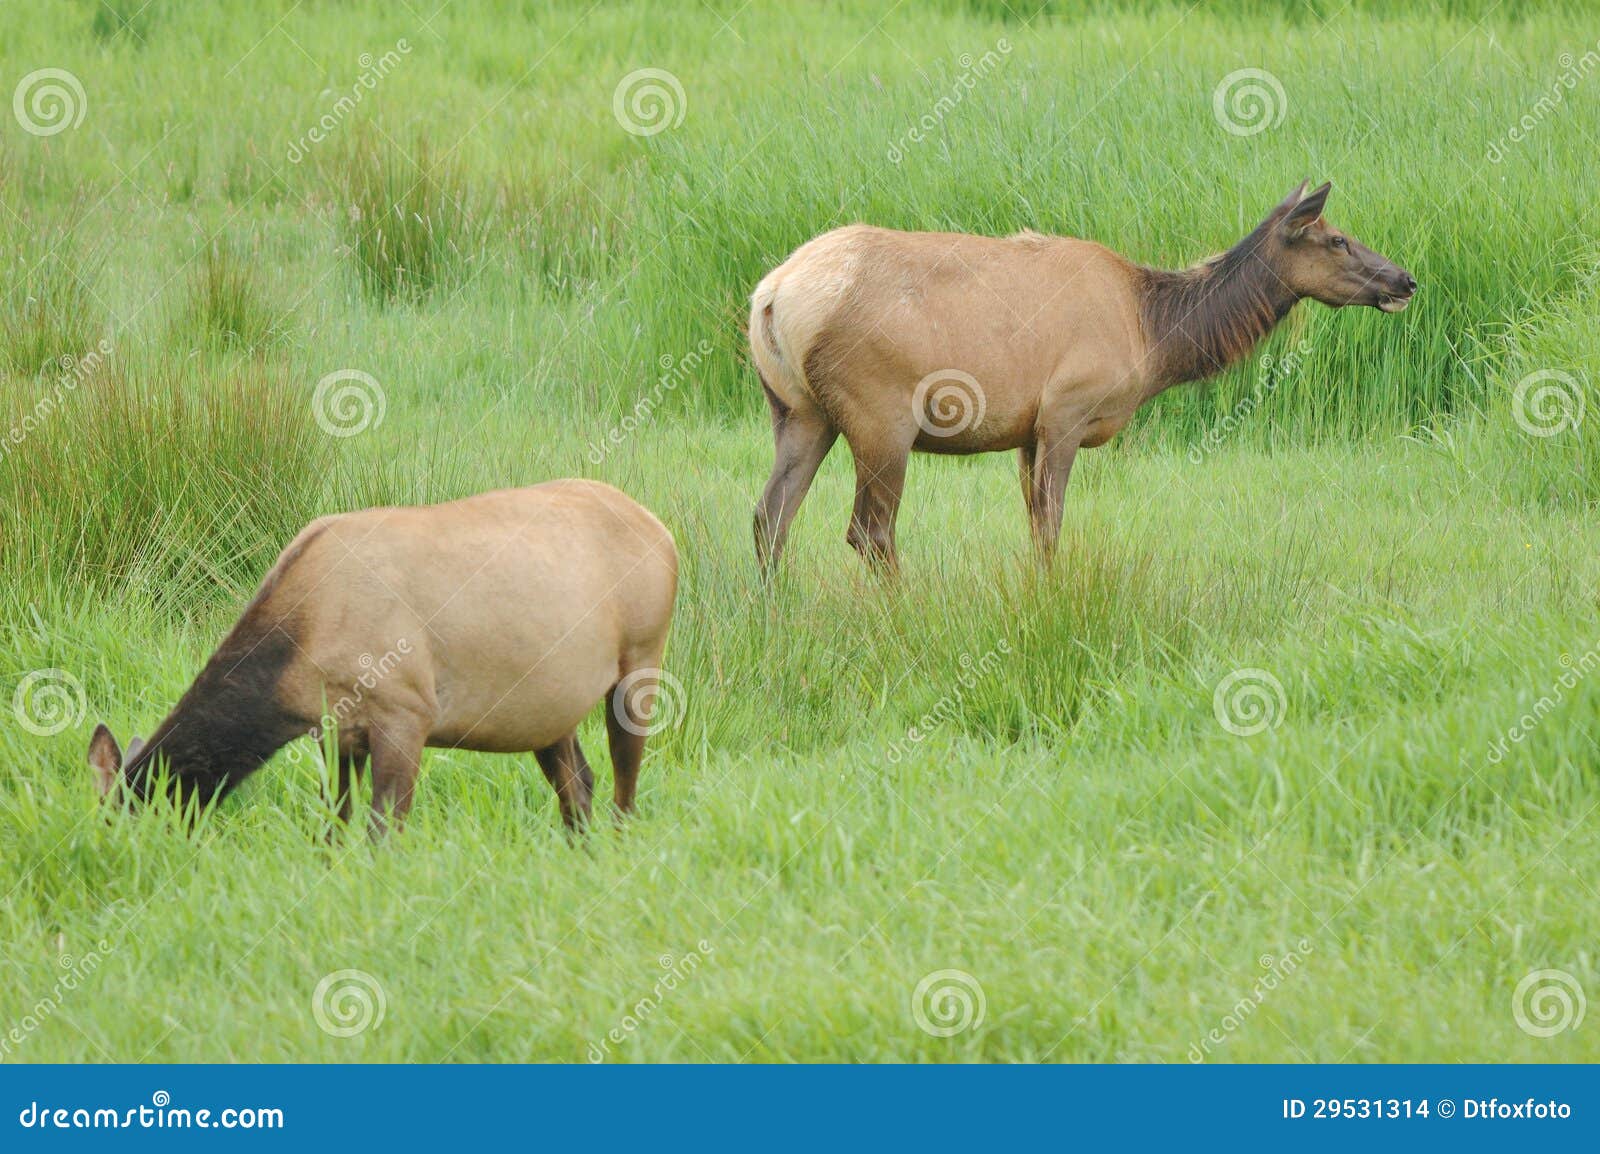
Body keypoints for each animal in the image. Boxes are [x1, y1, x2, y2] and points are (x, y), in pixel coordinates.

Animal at [86, 480, 678, 835]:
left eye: (124, 822)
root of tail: (664, 530)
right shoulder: (335, 730)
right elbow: (334, 824)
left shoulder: (406, 711)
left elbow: (383, 828)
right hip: (549, 707)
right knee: (579, 784)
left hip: (641, 662)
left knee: (625, 783)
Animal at [748, 181, 1416, 574]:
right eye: (1337, 239)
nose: (1405, 280)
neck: (1153, 337)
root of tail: (771, 296)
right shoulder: (1066, 410)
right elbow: (1050, 528)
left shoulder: (1024, 429)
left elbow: (1033, 526)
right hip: (880, 414)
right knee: (869, 531)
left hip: (799, 410)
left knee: (768, 517)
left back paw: (774, 615)